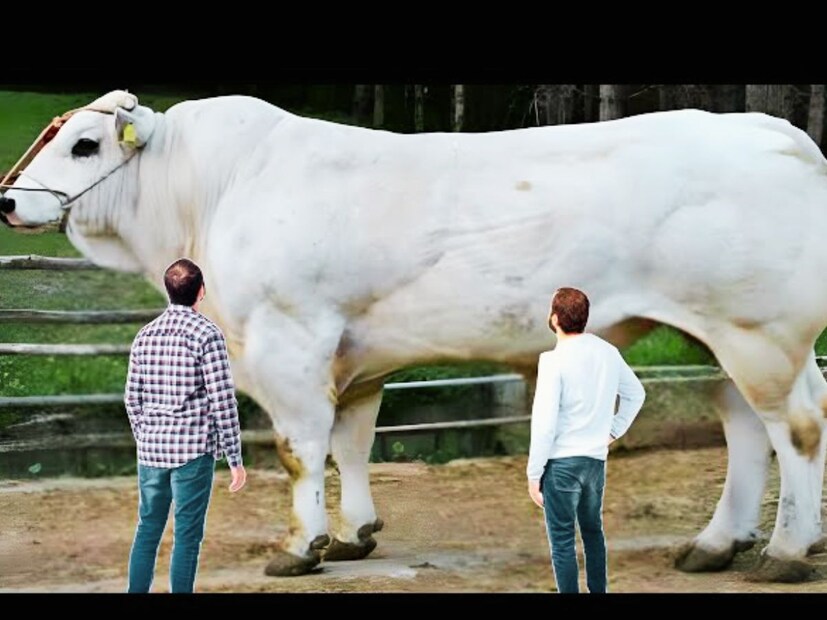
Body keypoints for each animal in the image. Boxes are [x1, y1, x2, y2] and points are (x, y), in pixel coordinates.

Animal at [2, 90, 826, 582]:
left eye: (82, 144)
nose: (8, 200)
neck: (208, 194)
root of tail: (770, 130)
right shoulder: (357, 354)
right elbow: (351, 441)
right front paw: (354, 533)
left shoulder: (286, 339)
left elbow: (300, 450)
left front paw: (300, 547)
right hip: (720, 338)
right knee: (745, 429)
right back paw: (718, 544)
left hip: (756, 332)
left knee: (795, 429)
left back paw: (785, 551)